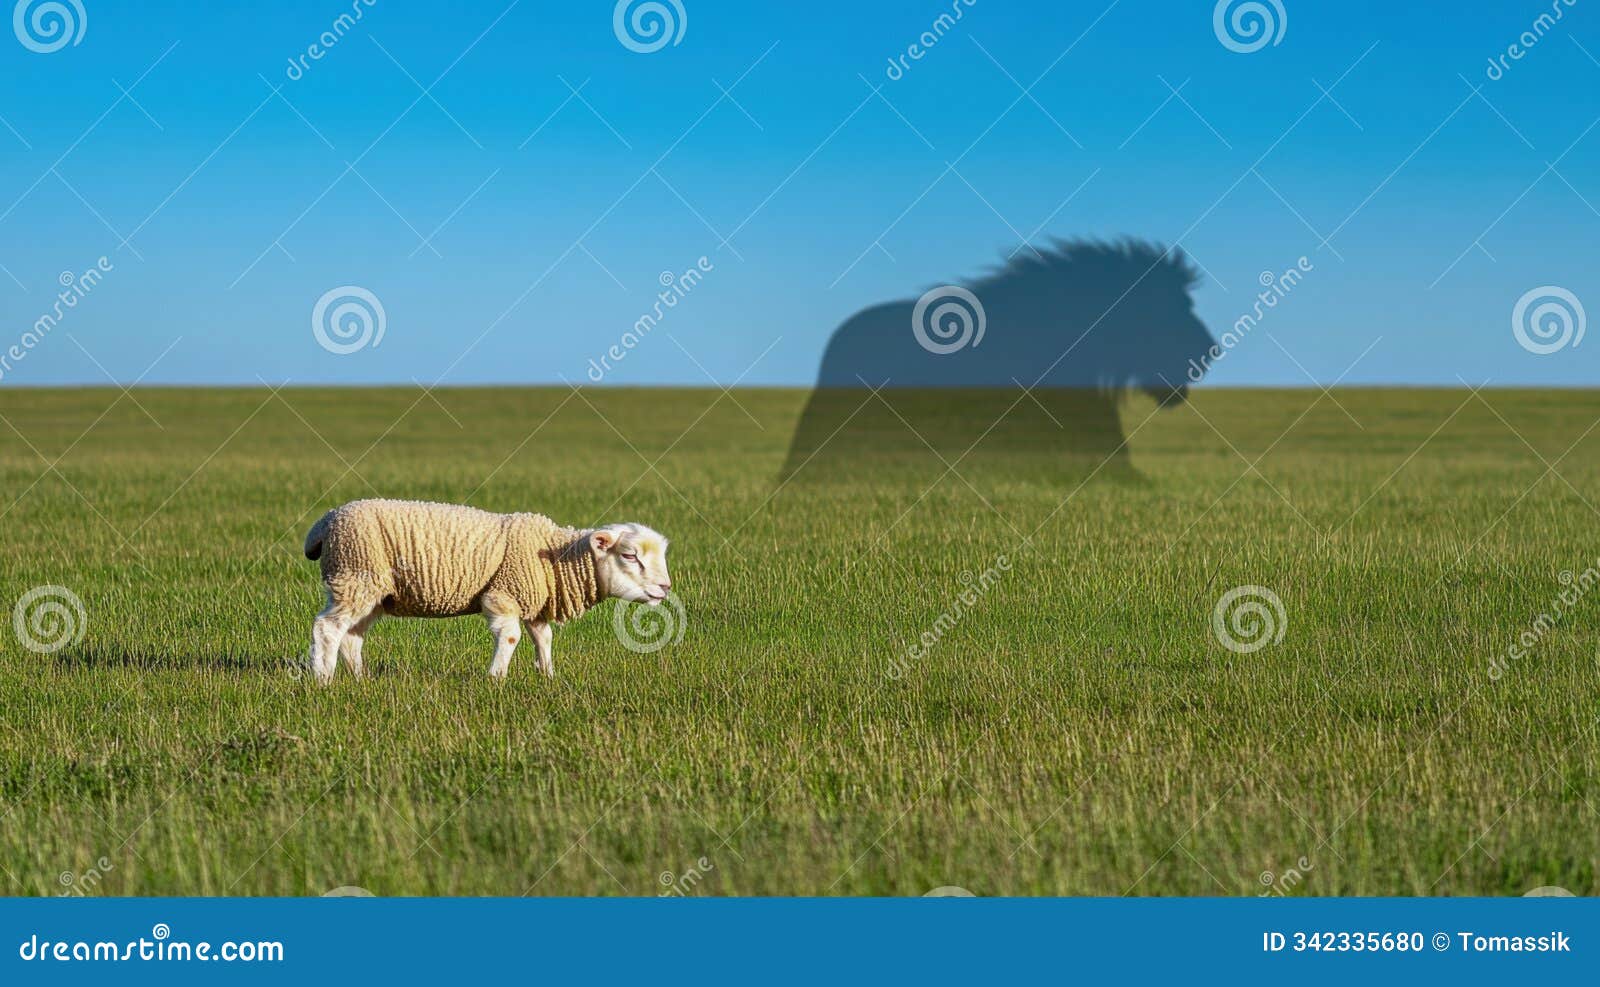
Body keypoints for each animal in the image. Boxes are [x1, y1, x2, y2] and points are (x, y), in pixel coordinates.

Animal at [301, 499, 672, 683]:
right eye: (629, 556)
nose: (665, 588)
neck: (555, 559)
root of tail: (325, 521)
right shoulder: (504, 594)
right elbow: (510, 637)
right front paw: (496, 678)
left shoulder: (532, 601)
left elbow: (544, 637)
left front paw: (548, 675)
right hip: (356, 573)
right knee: (328, 628)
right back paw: (323, 679)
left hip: (372, 589)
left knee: (352, 636)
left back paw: (360, 679)